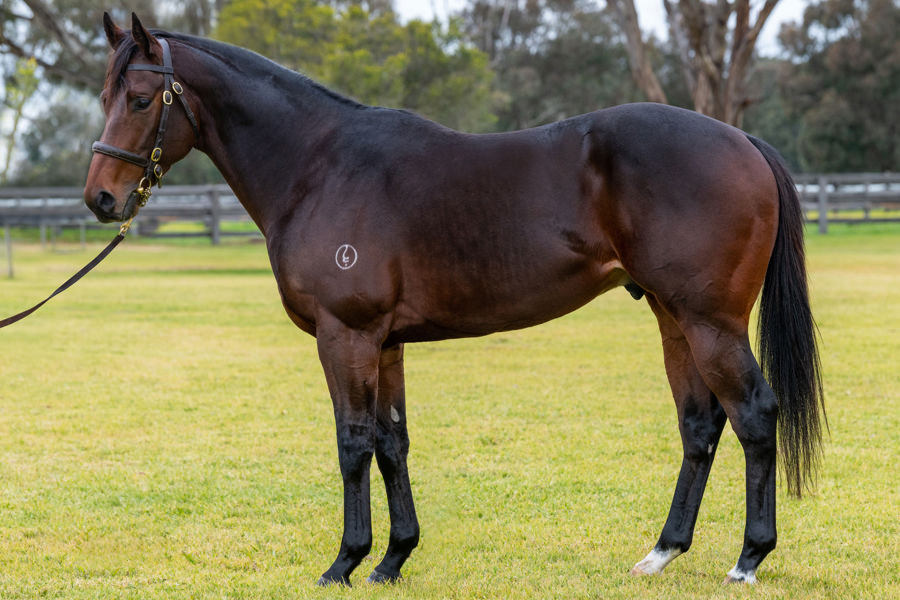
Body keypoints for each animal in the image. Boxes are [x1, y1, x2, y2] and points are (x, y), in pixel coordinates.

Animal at [84, 13, 825, 586]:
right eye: (104, 94)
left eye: (143, 100)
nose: (100, 199)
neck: (319, 166)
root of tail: (740, 139)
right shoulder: (384, 342)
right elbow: (393, 443)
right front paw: (392, 560)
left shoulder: (346, 334)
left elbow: (353, 442)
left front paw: (344, 562)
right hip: (674, 319)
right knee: (700, 425)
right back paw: (662, 553)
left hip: (711, 323)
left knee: (755, 414)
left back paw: (748, 559)